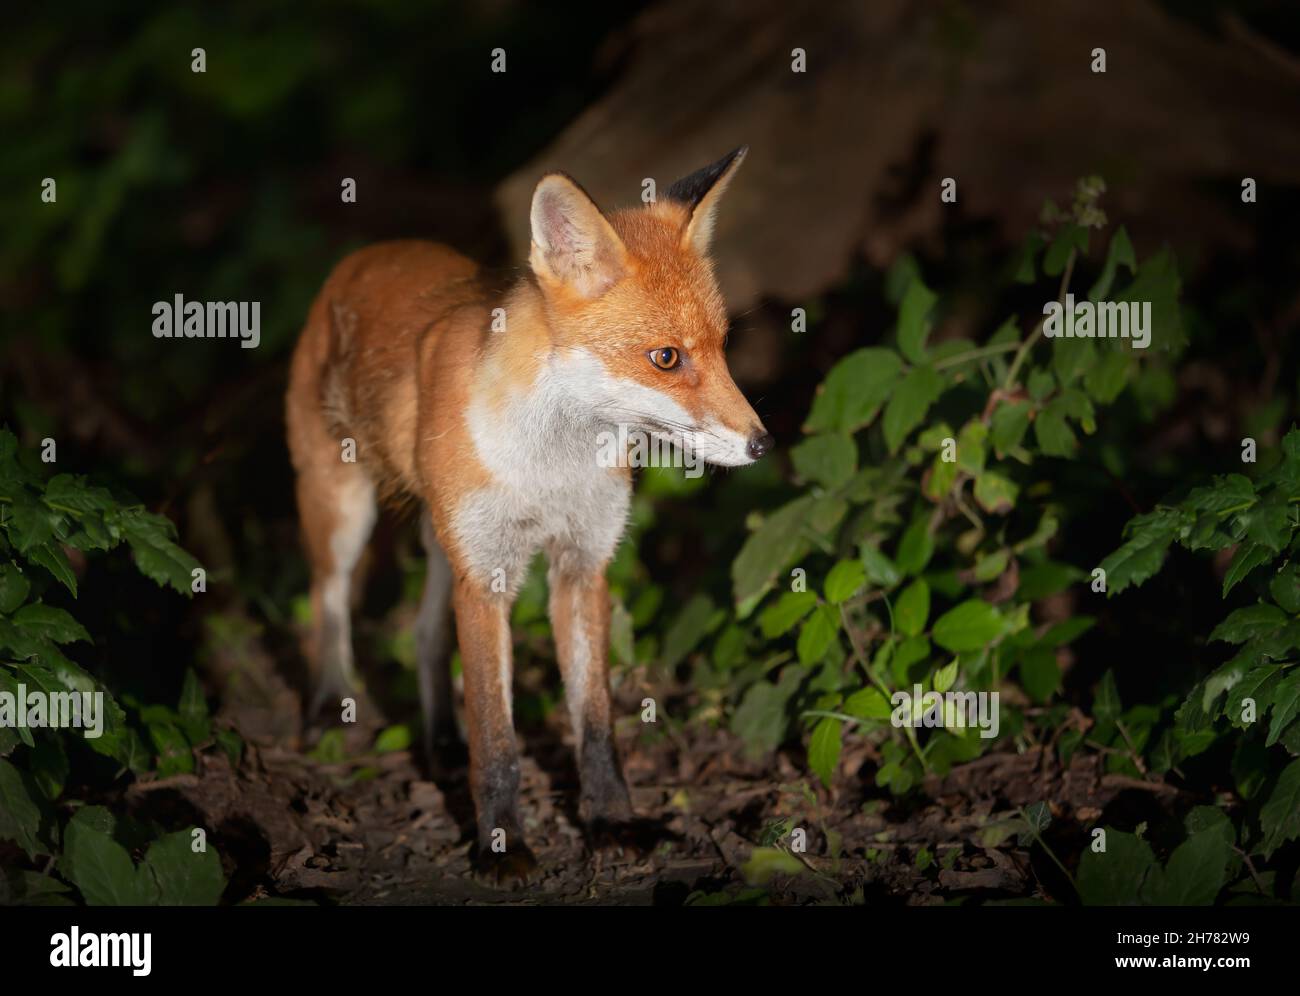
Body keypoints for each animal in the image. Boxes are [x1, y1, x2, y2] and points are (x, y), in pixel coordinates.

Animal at [285, 147, 772, 880]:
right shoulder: (487, 580)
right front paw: (504, 843)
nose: (762, 443)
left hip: (443, 539)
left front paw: (611, 821)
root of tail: (368, 254)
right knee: (329, 599)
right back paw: (326, 703)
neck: (551, 470)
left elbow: (594, 722)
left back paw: (440, 740)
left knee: (424, 633)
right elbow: (498, 736)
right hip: (344, 511)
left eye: (720, 345)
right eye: (666, 357)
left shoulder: (581, 565)